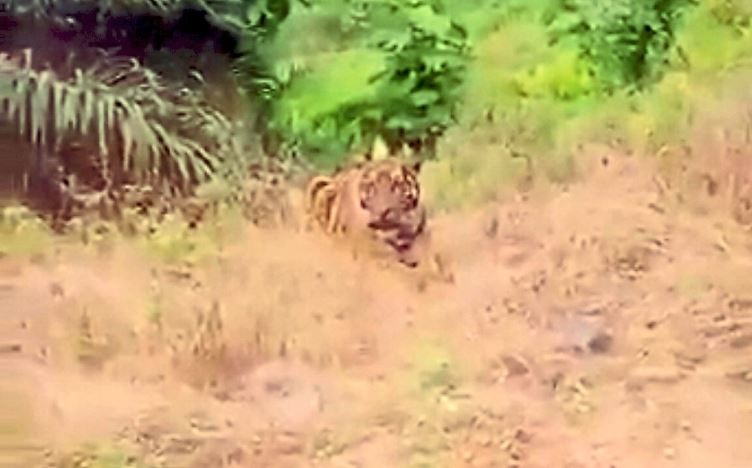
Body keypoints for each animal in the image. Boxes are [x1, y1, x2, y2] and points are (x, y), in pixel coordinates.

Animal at [304, 156, 454, 286]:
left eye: (397, 185)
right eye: (372, 186)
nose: (384, 211)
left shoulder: (422, 233)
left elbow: (429, 253)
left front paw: (440, 272)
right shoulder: (364, 240)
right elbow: (389, 255)